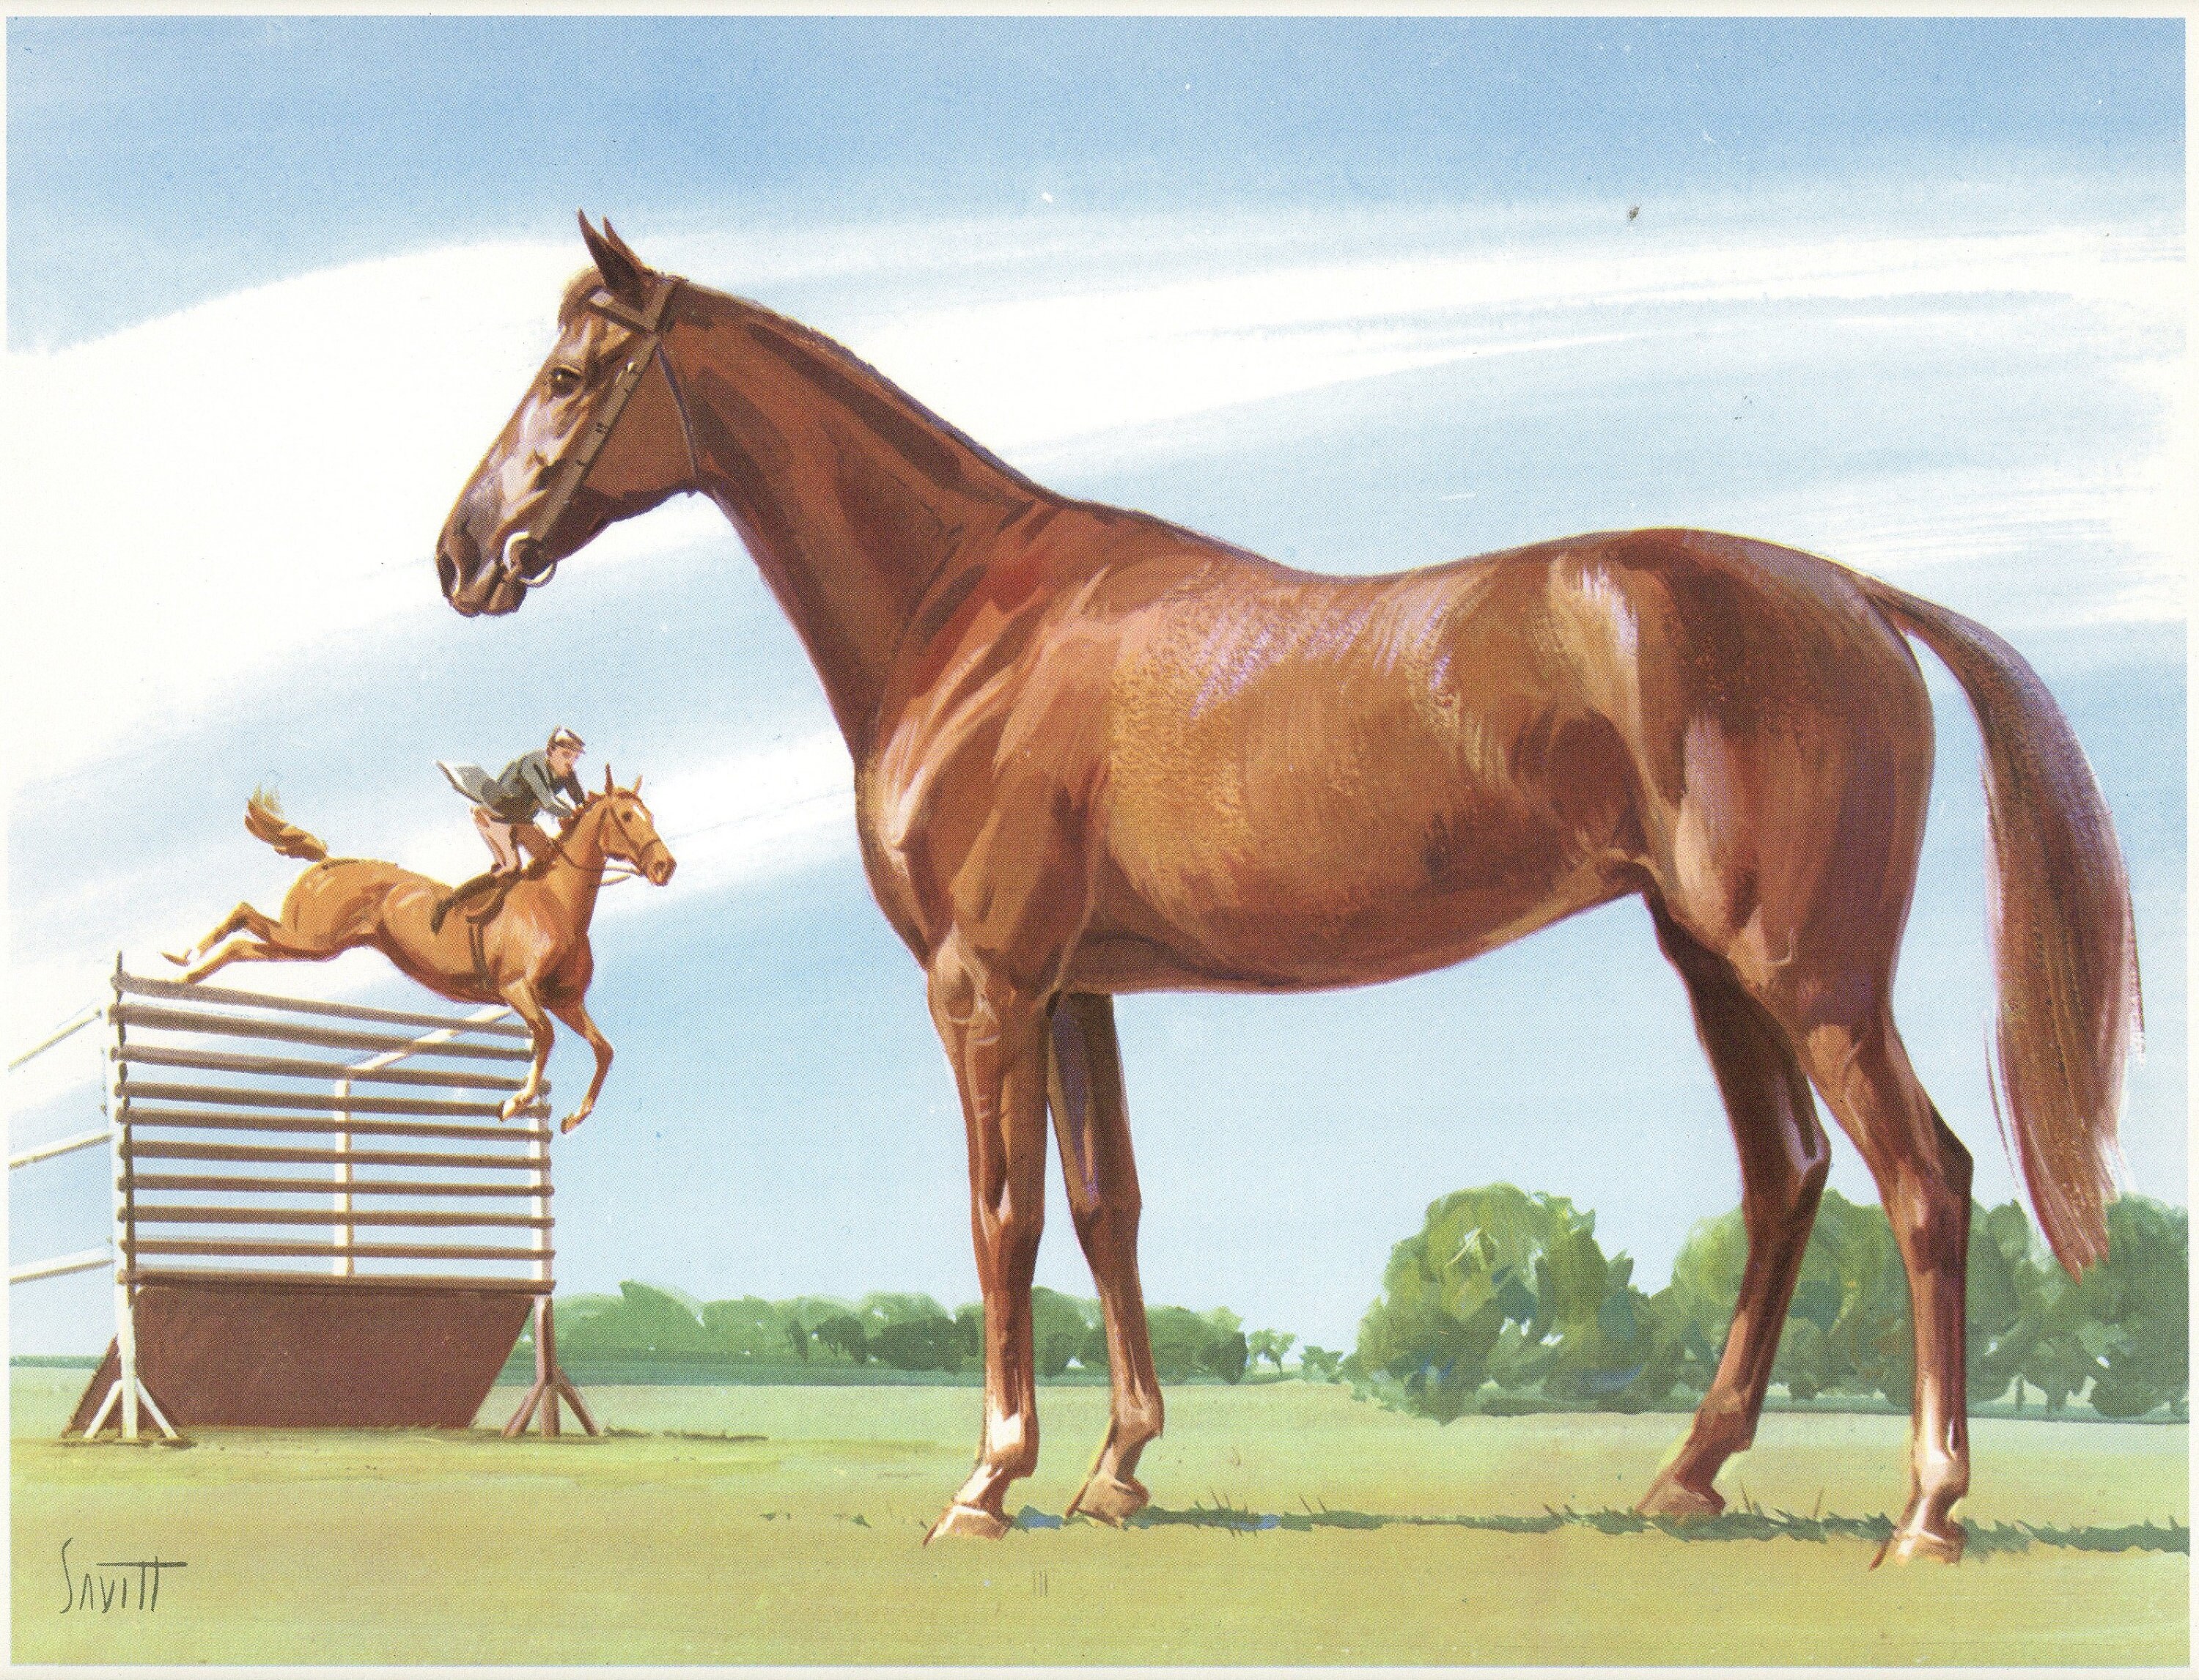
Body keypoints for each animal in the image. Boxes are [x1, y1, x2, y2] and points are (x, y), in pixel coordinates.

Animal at [165, 772, 676, 1134]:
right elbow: (546, 1037)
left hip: (313, 947)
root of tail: (328, 863)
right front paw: (515, 1102)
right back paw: (184, 963)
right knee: (245, 918)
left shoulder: (565, 1001)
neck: (555, 902)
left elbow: (603, 1050)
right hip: (311, 939)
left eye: (649, 813)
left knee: (247, 939)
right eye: (627, 817)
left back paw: (185, 972)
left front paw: (573, 1117)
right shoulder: (518, 992)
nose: (665, 866)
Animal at [435, 215, 2138, 1562]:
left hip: (1809, 972)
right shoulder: (1078, 988)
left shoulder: (984, 986)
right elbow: (1107, 1206)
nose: (461, 554)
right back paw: (1689, 1478)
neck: (974, 615)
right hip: (1716, 963)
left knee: (1925, 1182)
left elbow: (1003, 1216)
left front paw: (988, 1484)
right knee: (1788, 1182)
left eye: (574, 376)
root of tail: (1857, 596)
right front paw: (1117, 1469)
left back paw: (1928, 1512)